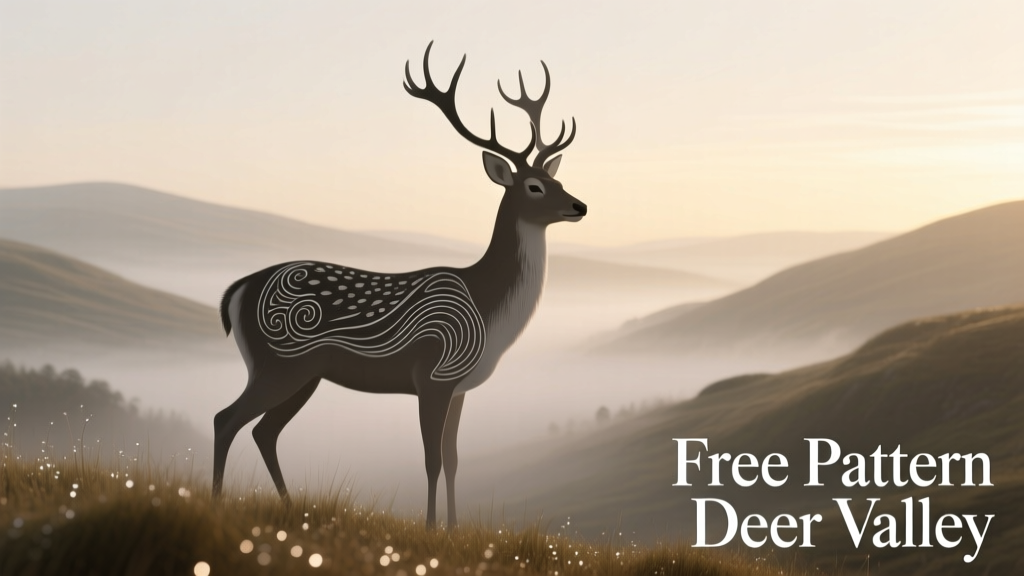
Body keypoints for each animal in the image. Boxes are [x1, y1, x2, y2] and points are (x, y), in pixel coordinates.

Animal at [212, 42, 586, 529]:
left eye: (558, 178)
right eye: (534, 186)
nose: (580, 205)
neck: (488, 309)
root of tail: (235, 291)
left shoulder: (459, 387)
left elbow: (454, 458)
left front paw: (452, 529)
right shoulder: (432, 372)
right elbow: (431, 458)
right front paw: (429, 527)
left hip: (302, 374)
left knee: (262, 430)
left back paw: (291, 508)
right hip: (277, 360)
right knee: (226, 419)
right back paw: (215, 503)